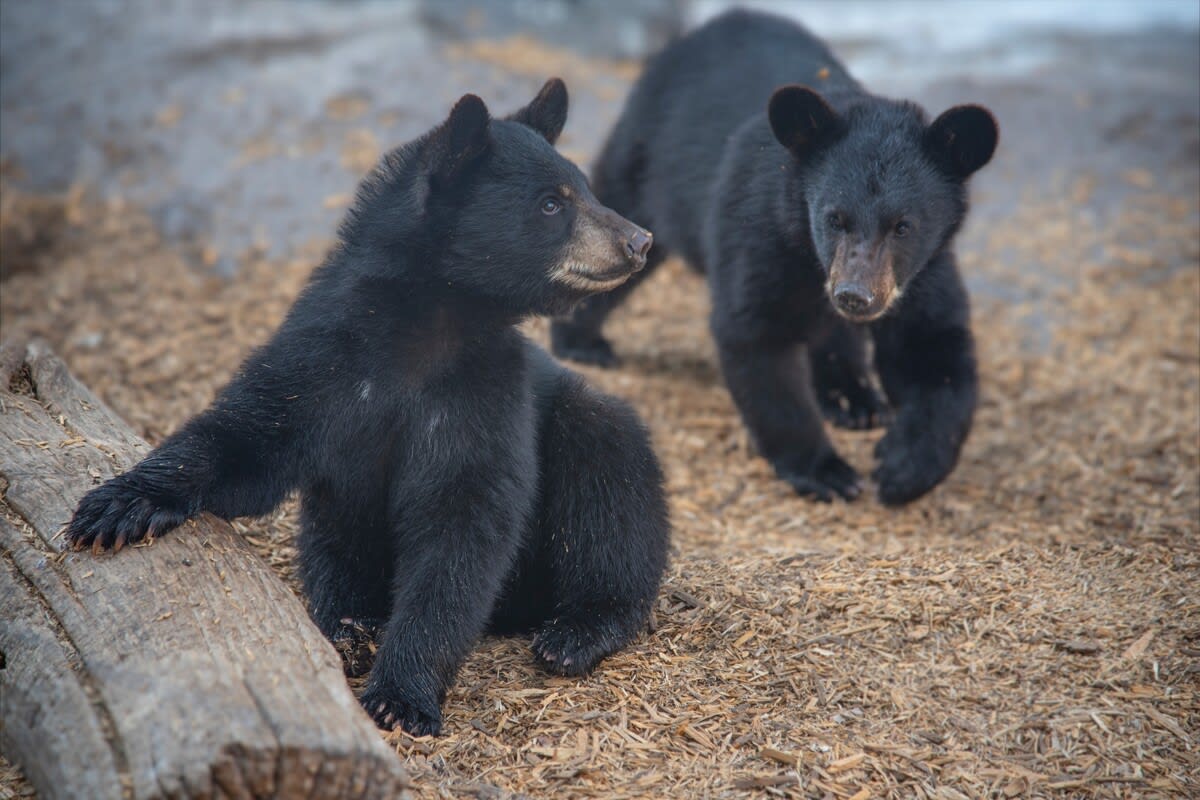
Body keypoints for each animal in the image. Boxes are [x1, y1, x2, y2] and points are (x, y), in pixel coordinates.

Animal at [65, 79, 671, 737]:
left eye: (584, 188)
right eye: (552, 204)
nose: (639, 239)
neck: (426, 324)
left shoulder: (484, 388)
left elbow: (463, 518)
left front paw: (401, 693)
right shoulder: (325, 355)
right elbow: (247, 437)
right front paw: (118, 505)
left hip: (585, 426)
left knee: (611, 492)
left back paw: (577, 630)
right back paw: (348, 627)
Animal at [550, 9, 998, 506]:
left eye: (903, 225)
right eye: (834, 218)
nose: (856, 296)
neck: (811, 258)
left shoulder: (924, 267)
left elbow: (933, 346)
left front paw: (903, 467)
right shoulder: (757, 229)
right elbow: (756, 337)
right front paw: (827, 471)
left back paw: (853, 400)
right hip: (644, 161)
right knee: (616, 213)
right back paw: (581, 341)